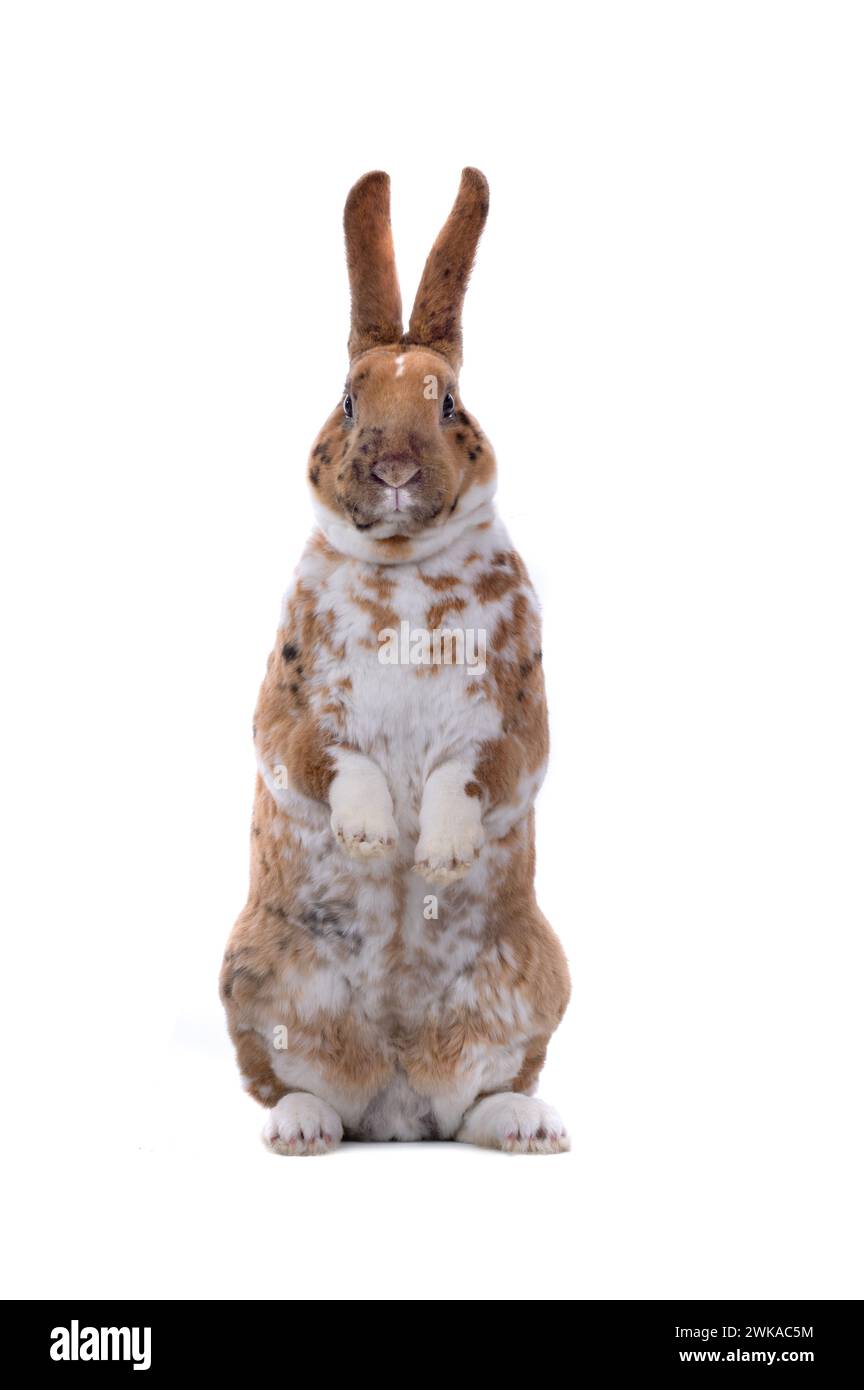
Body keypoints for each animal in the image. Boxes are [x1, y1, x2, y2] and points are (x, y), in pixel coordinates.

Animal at [220, 169, 571, 1154]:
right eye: (349, 398)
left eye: (448, 403)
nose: (397, 468)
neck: (405, 564)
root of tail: (399, 1101)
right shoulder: (290, 708)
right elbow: (326, 760)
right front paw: (375, 838)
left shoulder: (514, 719)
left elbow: (474, 773)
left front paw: (441, 857)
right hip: (250, 974)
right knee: (286, 1083)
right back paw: (302, 1130)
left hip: (540, 979)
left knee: (482, 1099)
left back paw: (530, 1128)